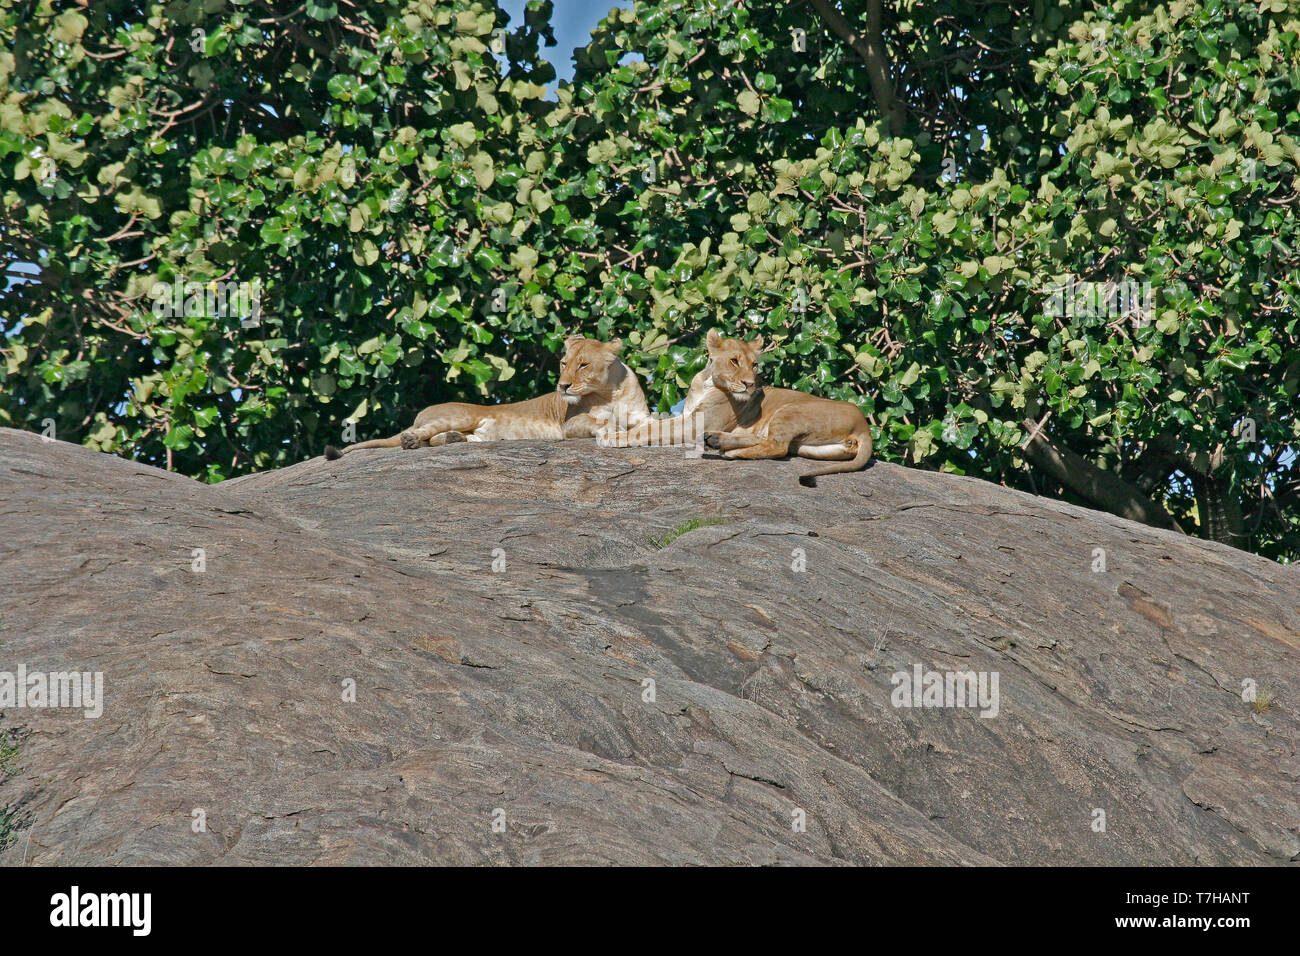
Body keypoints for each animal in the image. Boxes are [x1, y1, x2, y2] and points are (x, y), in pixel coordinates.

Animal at [323, 335, 651, 459]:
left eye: (583, 365)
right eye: (563, 363)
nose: (563, 386)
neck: (611, 391)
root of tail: (420, 413)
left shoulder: (643, 417)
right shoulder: (569, 425)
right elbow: (600, 422)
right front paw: (612, 429)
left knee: (439, 439)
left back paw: (452, 439)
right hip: (460, 414)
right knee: (419, 434)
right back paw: (412, 440)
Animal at [599, 329, 871, 486]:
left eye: (755, 365)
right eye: (734, 361)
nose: (750, 384)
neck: (706, 381)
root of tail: (864, 425)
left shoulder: (695, 422)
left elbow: (650, 430)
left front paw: (615, 437)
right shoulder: (688, 416)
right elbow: (652, 424)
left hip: (790, 410)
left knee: (778, 447)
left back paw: (730, 452)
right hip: (812, 448)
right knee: (772, 443)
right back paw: (718, 442)